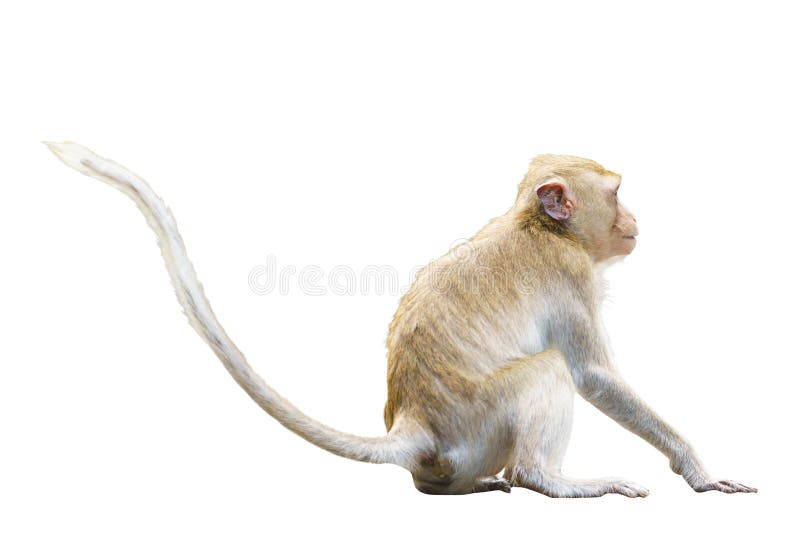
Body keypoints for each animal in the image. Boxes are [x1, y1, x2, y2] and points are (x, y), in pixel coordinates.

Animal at [45, 142, 756, 497]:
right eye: (617, 195)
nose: (635, 219)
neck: (538, 226)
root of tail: (414, 425)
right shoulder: (571, 275)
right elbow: (592, 376)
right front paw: (698, 470)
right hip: (481, 418)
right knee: (548, 372)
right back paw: (550, 483)